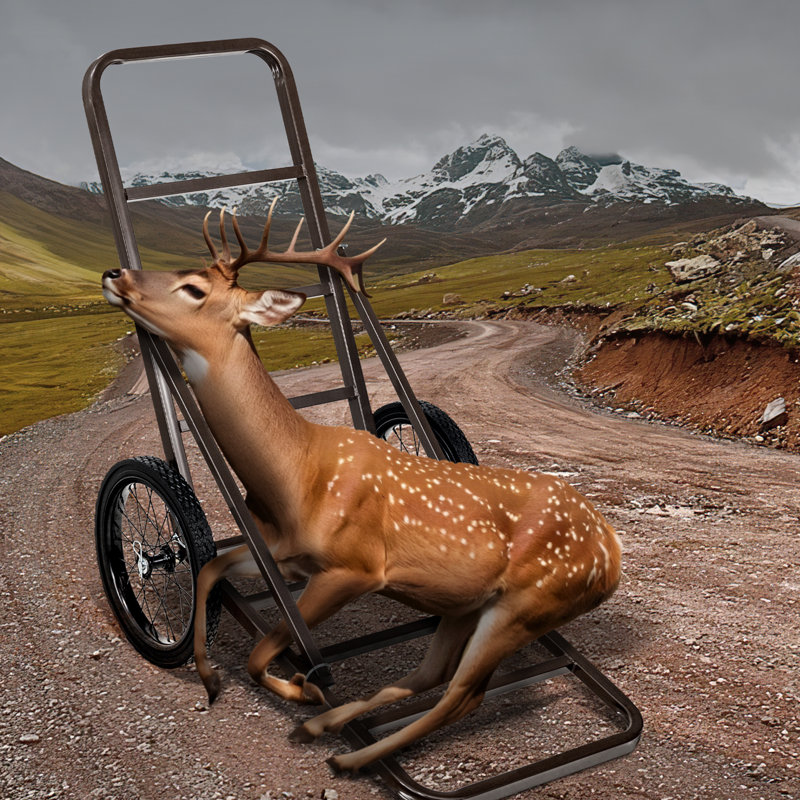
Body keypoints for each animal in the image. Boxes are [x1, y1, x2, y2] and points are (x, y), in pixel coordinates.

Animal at [101, 199, 622, 773]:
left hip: (526, 606)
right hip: (468, 605)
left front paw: (303, 689)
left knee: (463, 694)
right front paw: (212, 678)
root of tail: (613, 560)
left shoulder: (354, 568)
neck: (295, 478)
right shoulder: (282, 555)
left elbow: (262, 653)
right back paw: (327, 726)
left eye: (193, 288)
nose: (115, 273)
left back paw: (346, 756)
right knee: (433, 675)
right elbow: (211, 569)